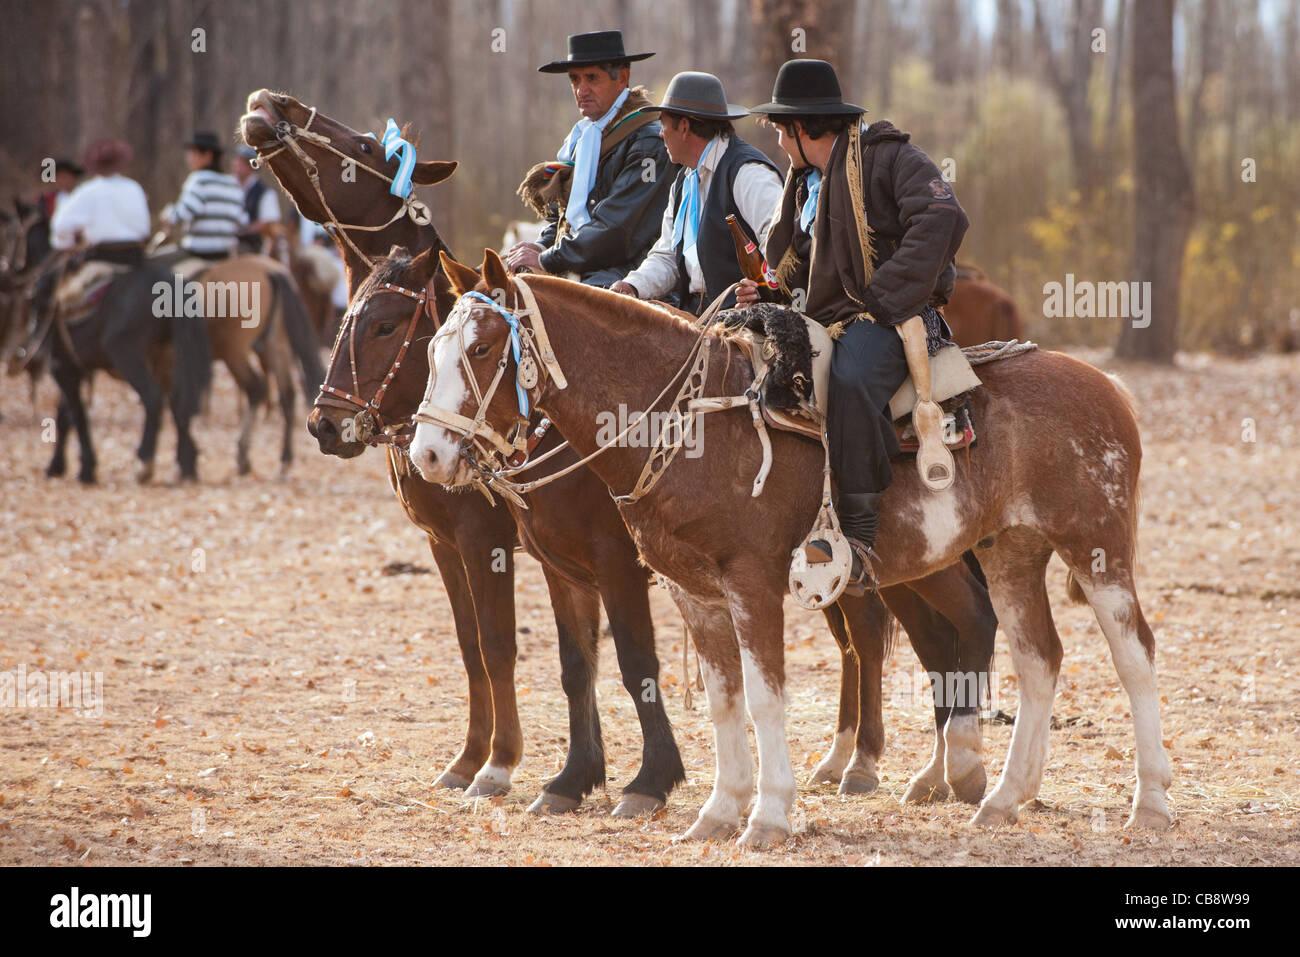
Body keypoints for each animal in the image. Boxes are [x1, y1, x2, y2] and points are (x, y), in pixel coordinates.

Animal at [410, 249, 1173, 846]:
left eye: (481, 349)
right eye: (431, 349)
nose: (428, 453)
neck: (690, 419)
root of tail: (1106, 387)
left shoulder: (750, 583)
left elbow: (763, 695)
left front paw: (768, 816)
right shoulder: (693, 593)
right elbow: (723, 698)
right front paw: (719, 811)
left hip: (1095, 547)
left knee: (1134, 656)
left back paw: (1150, 803)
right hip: (1011, 551)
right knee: (1039, 657)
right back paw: (1003, 798)